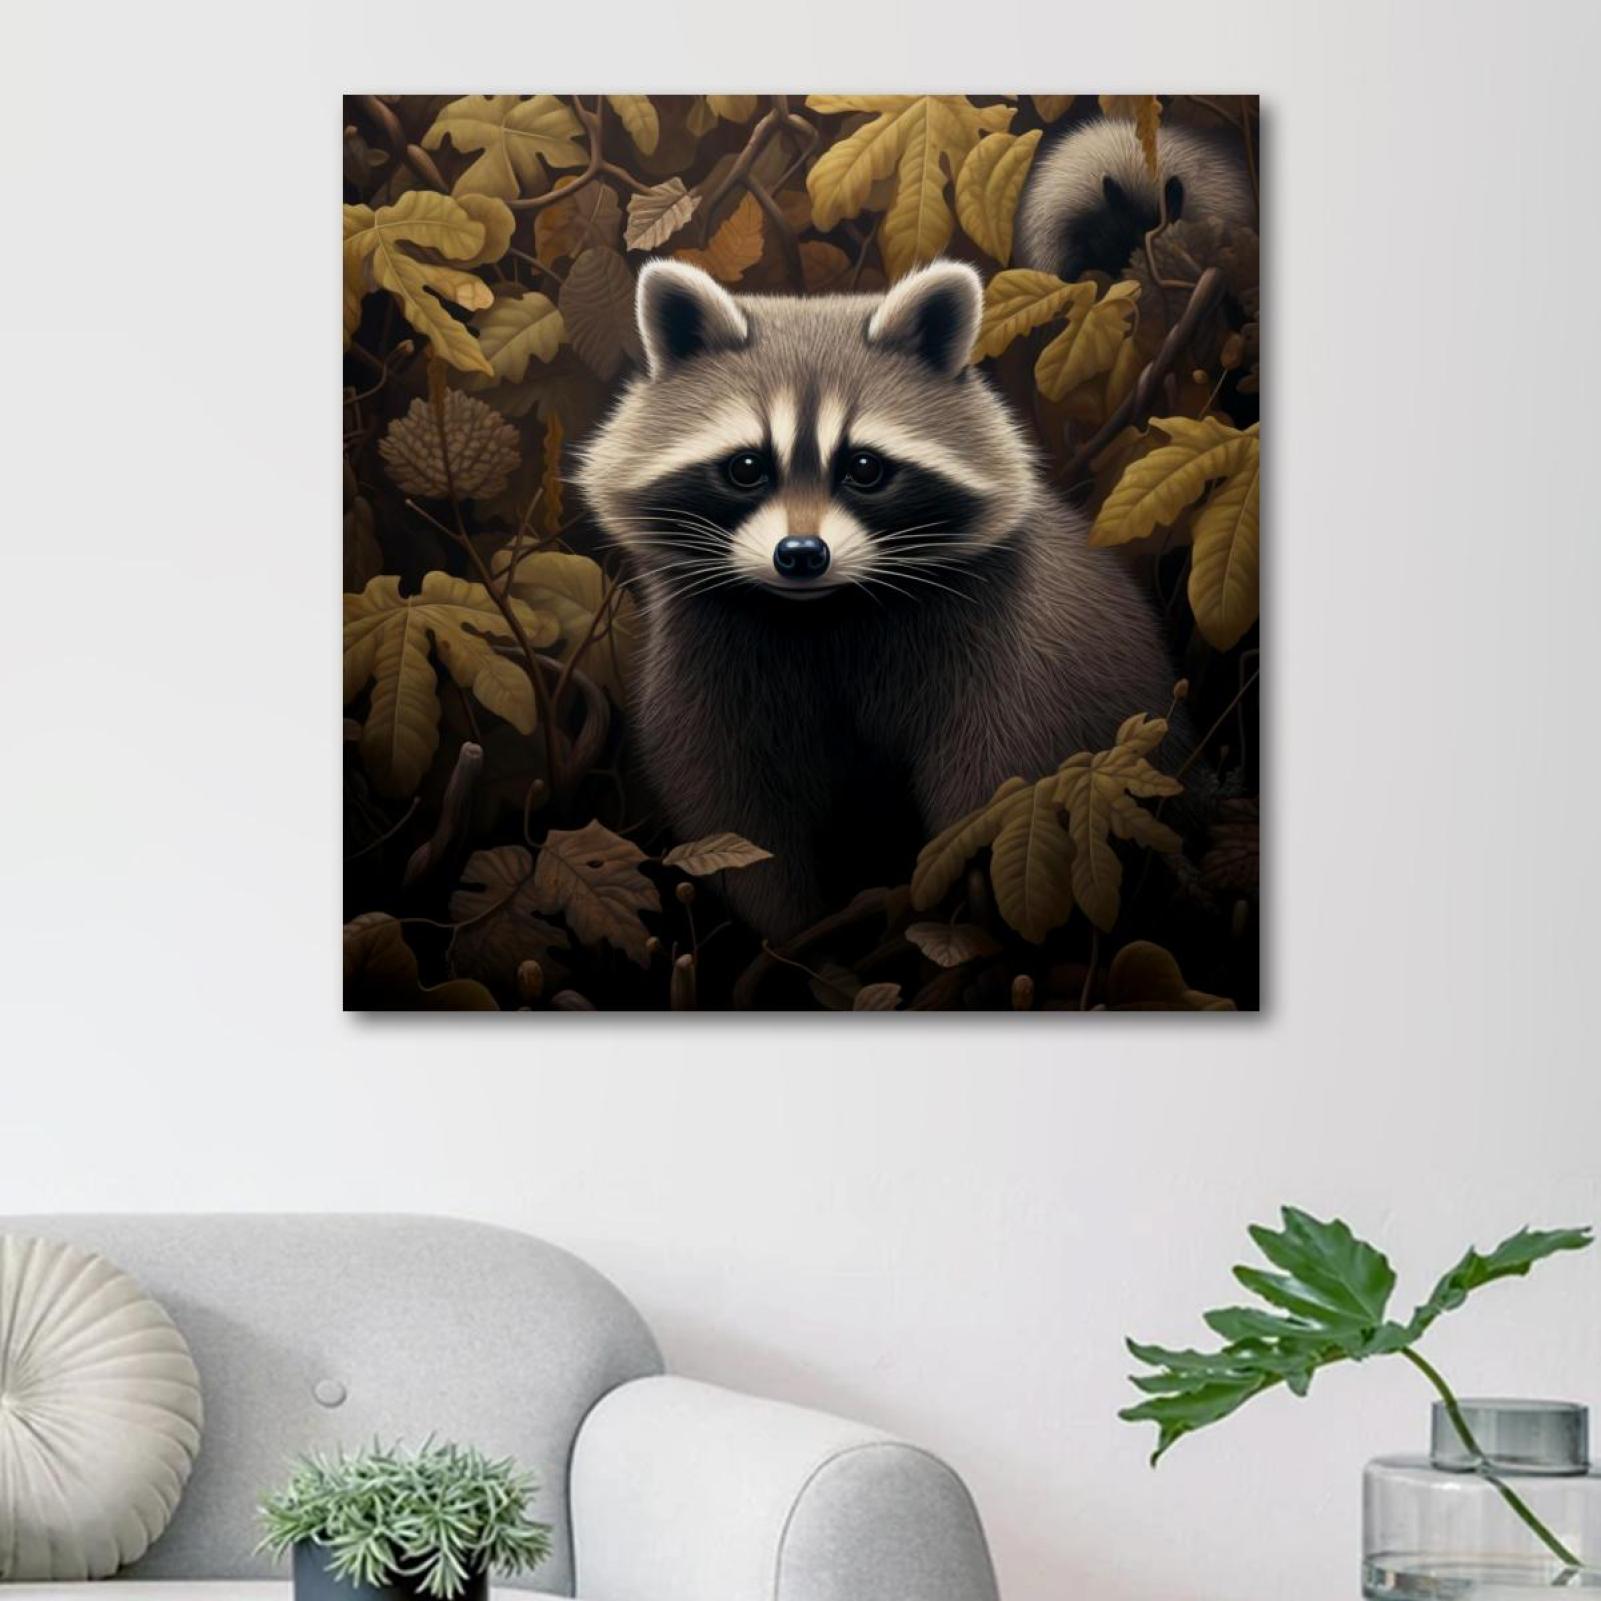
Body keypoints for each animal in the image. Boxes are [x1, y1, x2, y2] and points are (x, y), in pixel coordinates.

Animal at [574, 258, 1180, 940]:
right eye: (747, 467)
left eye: (863, 467)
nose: (800, 554)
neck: (821, 612)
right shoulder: (706, 652)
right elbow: (728, 795)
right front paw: (786, 925)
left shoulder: (1009, 641)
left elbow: (998, 772)